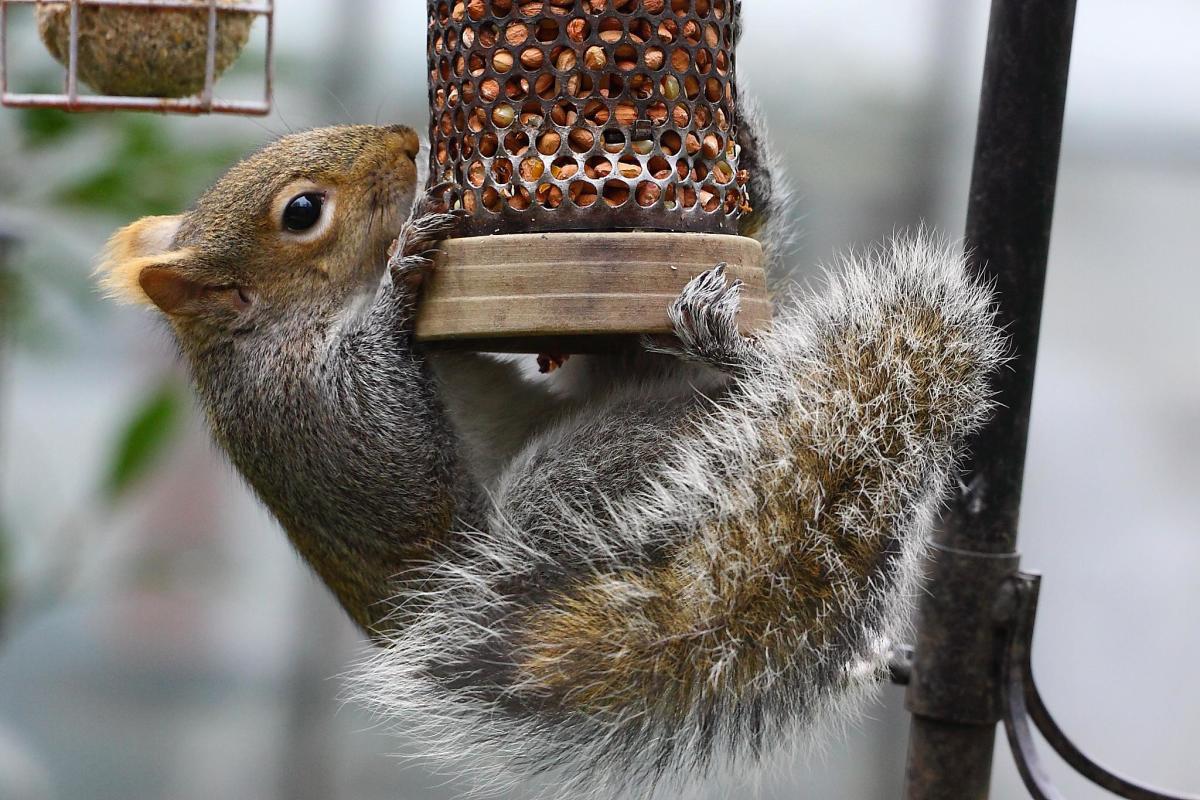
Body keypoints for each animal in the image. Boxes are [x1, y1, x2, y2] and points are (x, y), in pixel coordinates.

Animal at [97, 115, 1004, 797]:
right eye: (302, 212)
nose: (404, 140)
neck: (281, 328)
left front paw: (739, 149)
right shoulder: (315, 417)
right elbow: (403, 454)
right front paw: (400, 275)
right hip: (582, 484)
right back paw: (739, 369)